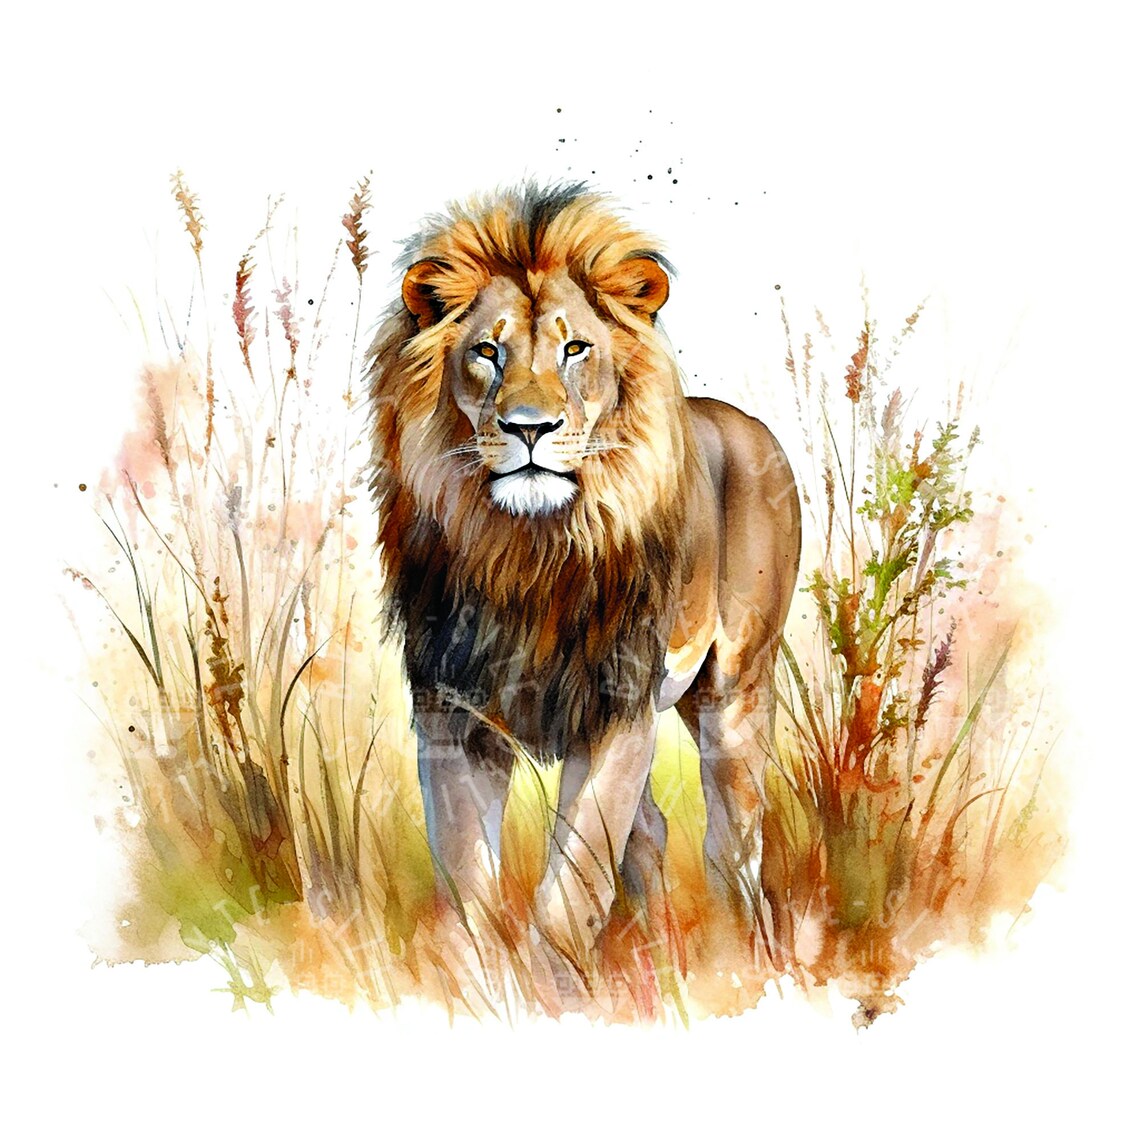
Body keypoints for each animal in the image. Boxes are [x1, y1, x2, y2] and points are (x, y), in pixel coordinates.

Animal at [366, 183, 801, 951]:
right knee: (653, 831)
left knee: (735, 844)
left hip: (736, 688)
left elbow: (572, 883)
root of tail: (746, 423)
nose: (529, 428)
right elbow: (471, 881)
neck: (530, 552)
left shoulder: (616, 704)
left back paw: (738, 950)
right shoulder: (452, 713)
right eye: (487, 351)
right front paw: (486, 973)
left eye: (575, 349)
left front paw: (556, 971)